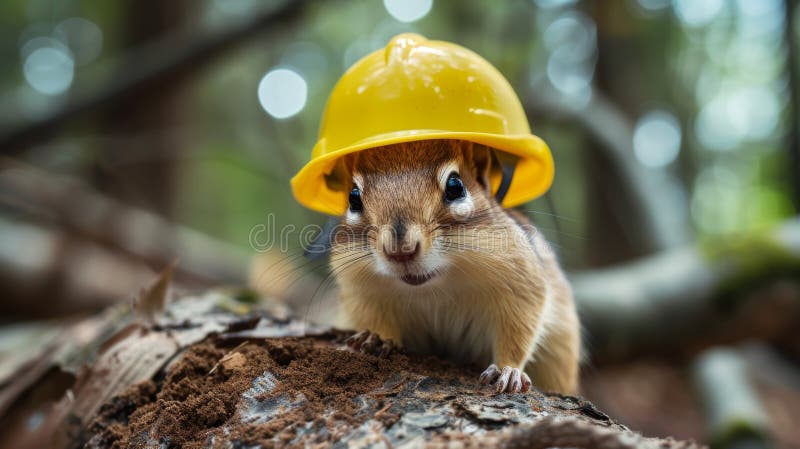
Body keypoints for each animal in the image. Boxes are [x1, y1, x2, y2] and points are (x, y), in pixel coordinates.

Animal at [329, 139, 581, 395]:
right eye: (353, 198)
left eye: (455, 186)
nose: (400, 251)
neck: (431, 288)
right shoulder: (362, 292)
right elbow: (372, 318)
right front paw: (376, 338)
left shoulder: (521, 283)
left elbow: (518, 331)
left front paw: (508, 370)